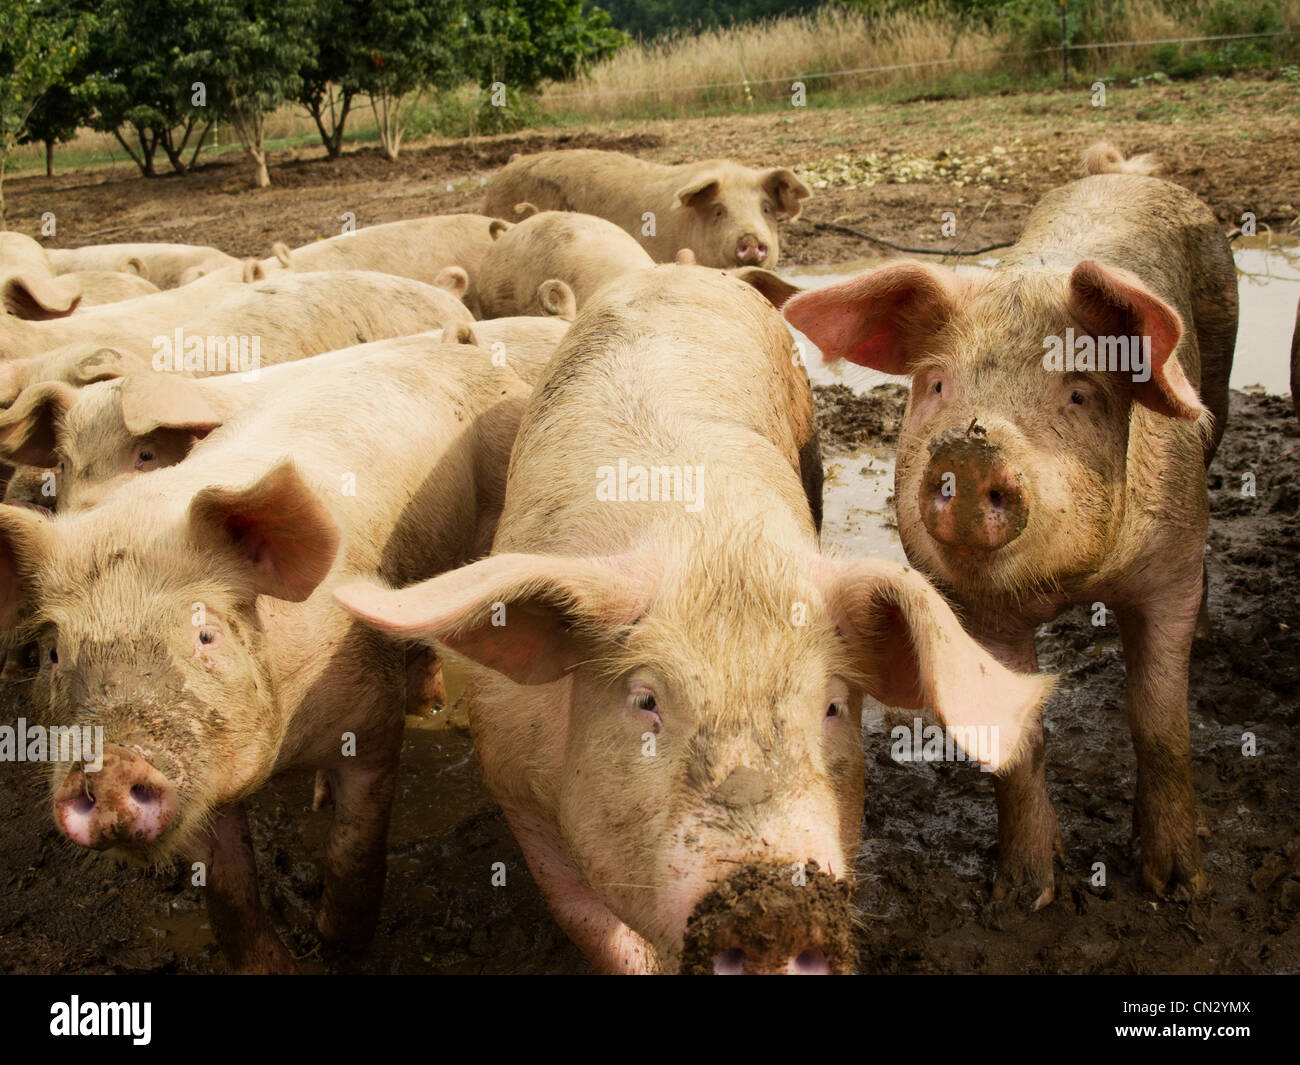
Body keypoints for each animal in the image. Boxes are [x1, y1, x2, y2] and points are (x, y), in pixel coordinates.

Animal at [0, 335, 531, 972]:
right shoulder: (201, 778)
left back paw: (426, 707)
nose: (109, 768)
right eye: (53, 652)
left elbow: (356, 847)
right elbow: (229, 890)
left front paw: (336, 944)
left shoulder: (368, 718)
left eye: (205, 634)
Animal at [333, 265, 1051, 974]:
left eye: (831, 707)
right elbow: (601, 932)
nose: (777, 915)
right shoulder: (516, 784)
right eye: (645, 700)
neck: (711, 551)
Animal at [784, 142, 1238, 907]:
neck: (1070, 584)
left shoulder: (1170, 565)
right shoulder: (978, 608)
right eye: (937, 384)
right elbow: (1016, 732)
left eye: (1080, 393)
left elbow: (1159, 720)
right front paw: (1025, 893)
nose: (967, 450)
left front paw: (1181, 885)